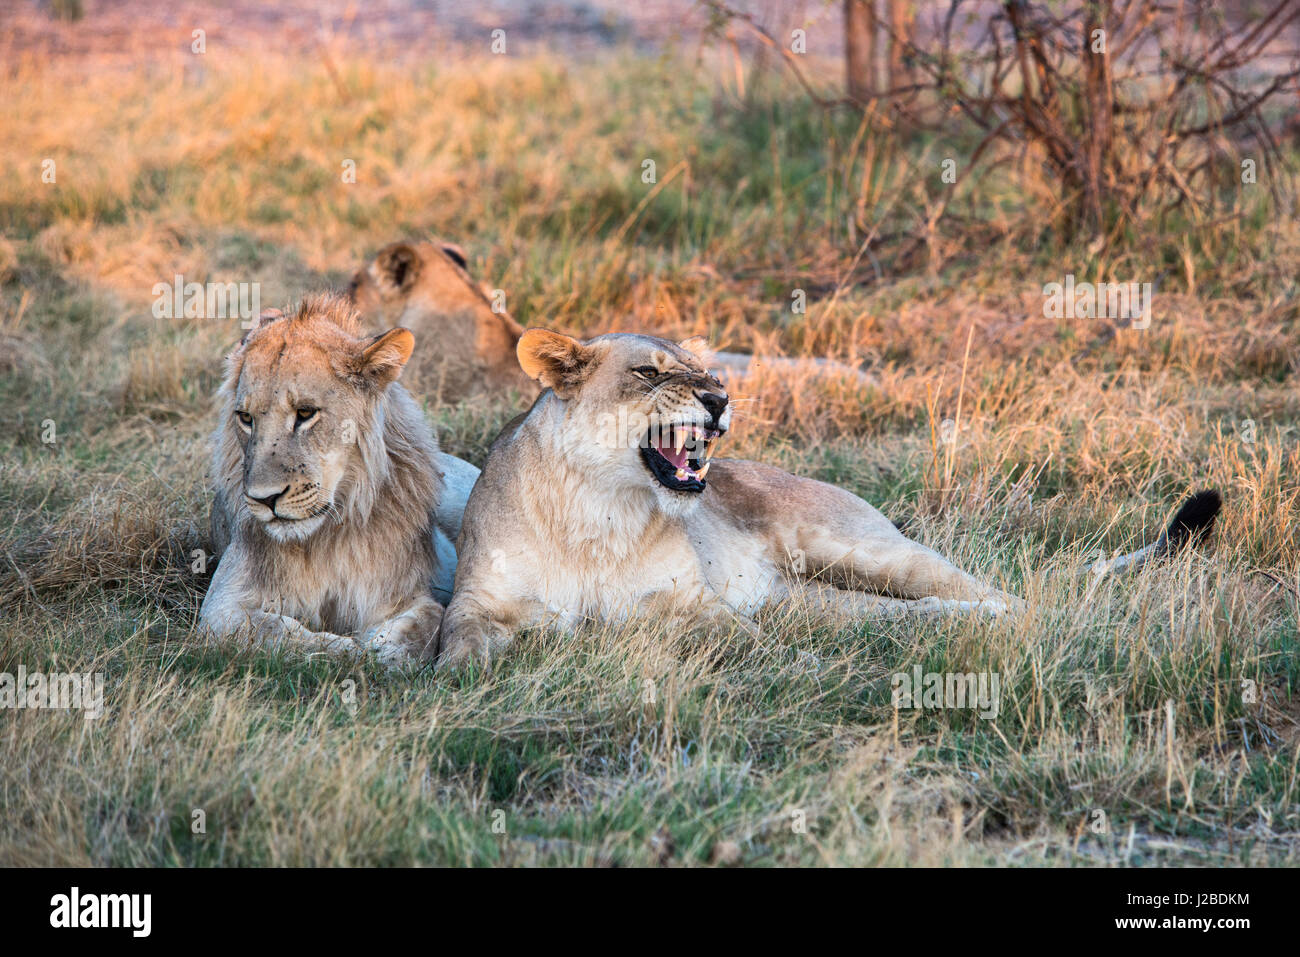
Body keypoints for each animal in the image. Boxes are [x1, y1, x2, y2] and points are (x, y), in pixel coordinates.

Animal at [200, 293, 480, 666]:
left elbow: (421, 626)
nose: (264, 499)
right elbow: (279, 632)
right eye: (245, 418)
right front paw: (351, 652)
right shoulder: (222, 606)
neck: (325, 539)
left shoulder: (408, 595)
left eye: (305, 412)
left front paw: (385, 658)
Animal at [438, 329, 1220, 667]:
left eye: (706, 371)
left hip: (866, 549)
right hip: (816, 598)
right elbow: (458, 645)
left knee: (1007, 595)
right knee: (904, 614)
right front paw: (457, 684)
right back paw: (946, 627)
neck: (600, 508)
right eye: (649, 373)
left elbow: (742, 639)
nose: (720, 399)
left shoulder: (700, 608)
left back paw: (1009, 621)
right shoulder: (478, 602)